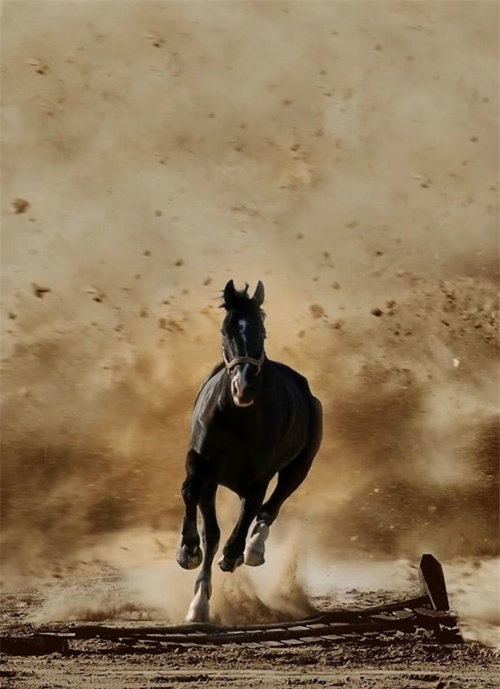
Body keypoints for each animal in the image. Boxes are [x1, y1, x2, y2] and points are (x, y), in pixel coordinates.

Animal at [176, 280, 323, 622]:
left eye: (262, 331)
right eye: (225, 330)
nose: (242, 389)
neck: (237, 419)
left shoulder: (258, 478)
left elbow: (247, 516)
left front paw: (234, 555)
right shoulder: (202, 468)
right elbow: (200, 514)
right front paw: (189, 556)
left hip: (300, 465)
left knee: (272, 506)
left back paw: (254, 549)